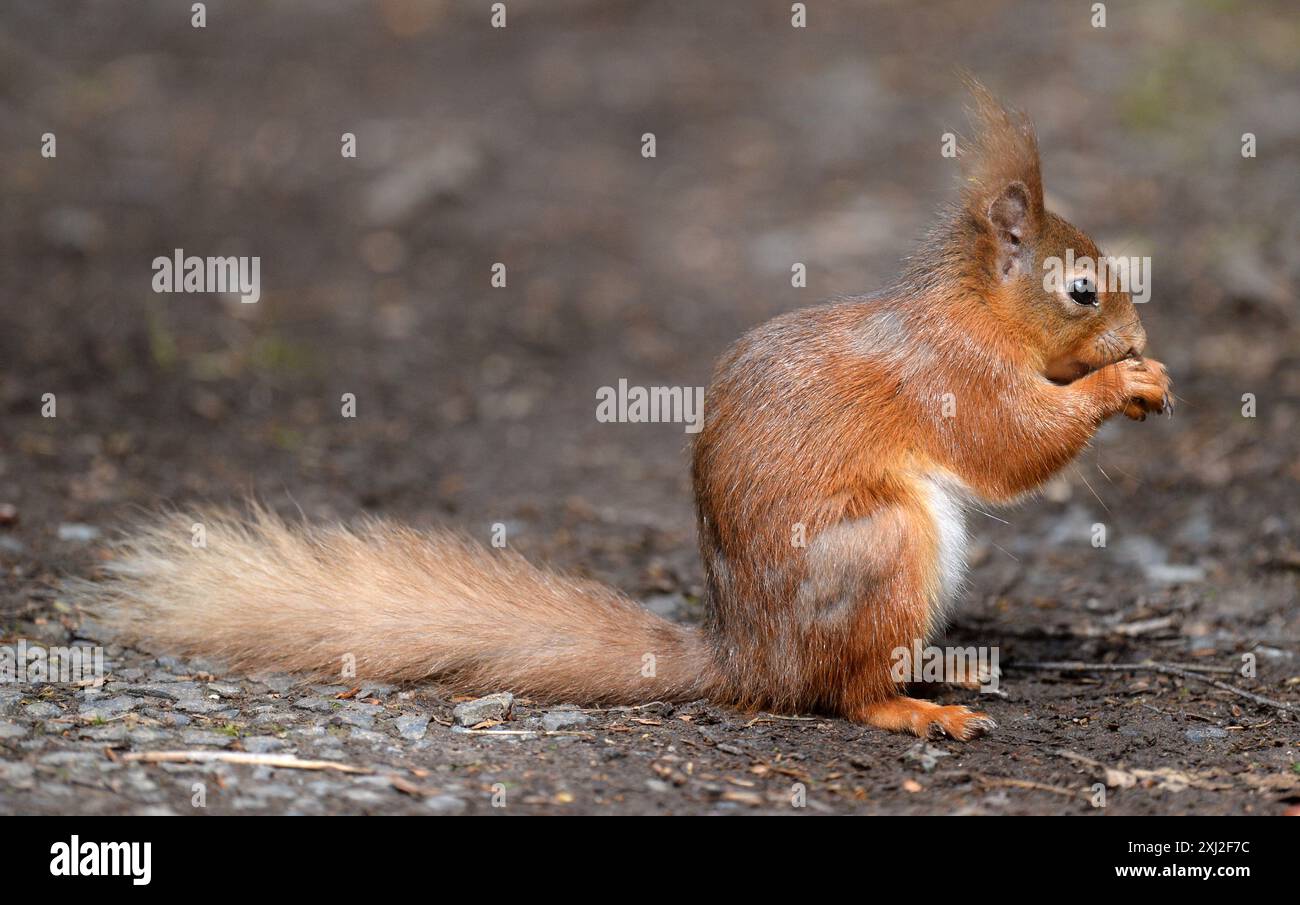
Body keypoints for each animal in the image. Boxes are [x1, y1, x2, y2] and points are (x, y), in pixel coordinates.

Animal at [86, 83, 1170, 740]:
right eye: (1081, 291)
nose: (1134, 331)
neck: (971, 308)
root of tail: (748, 658)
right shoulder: (954, 374)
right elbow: (1012, 443)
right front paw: (1124, 384)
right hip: (880, 550)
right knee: (842, 690)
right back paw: (914, 707)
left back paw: (952, 668)